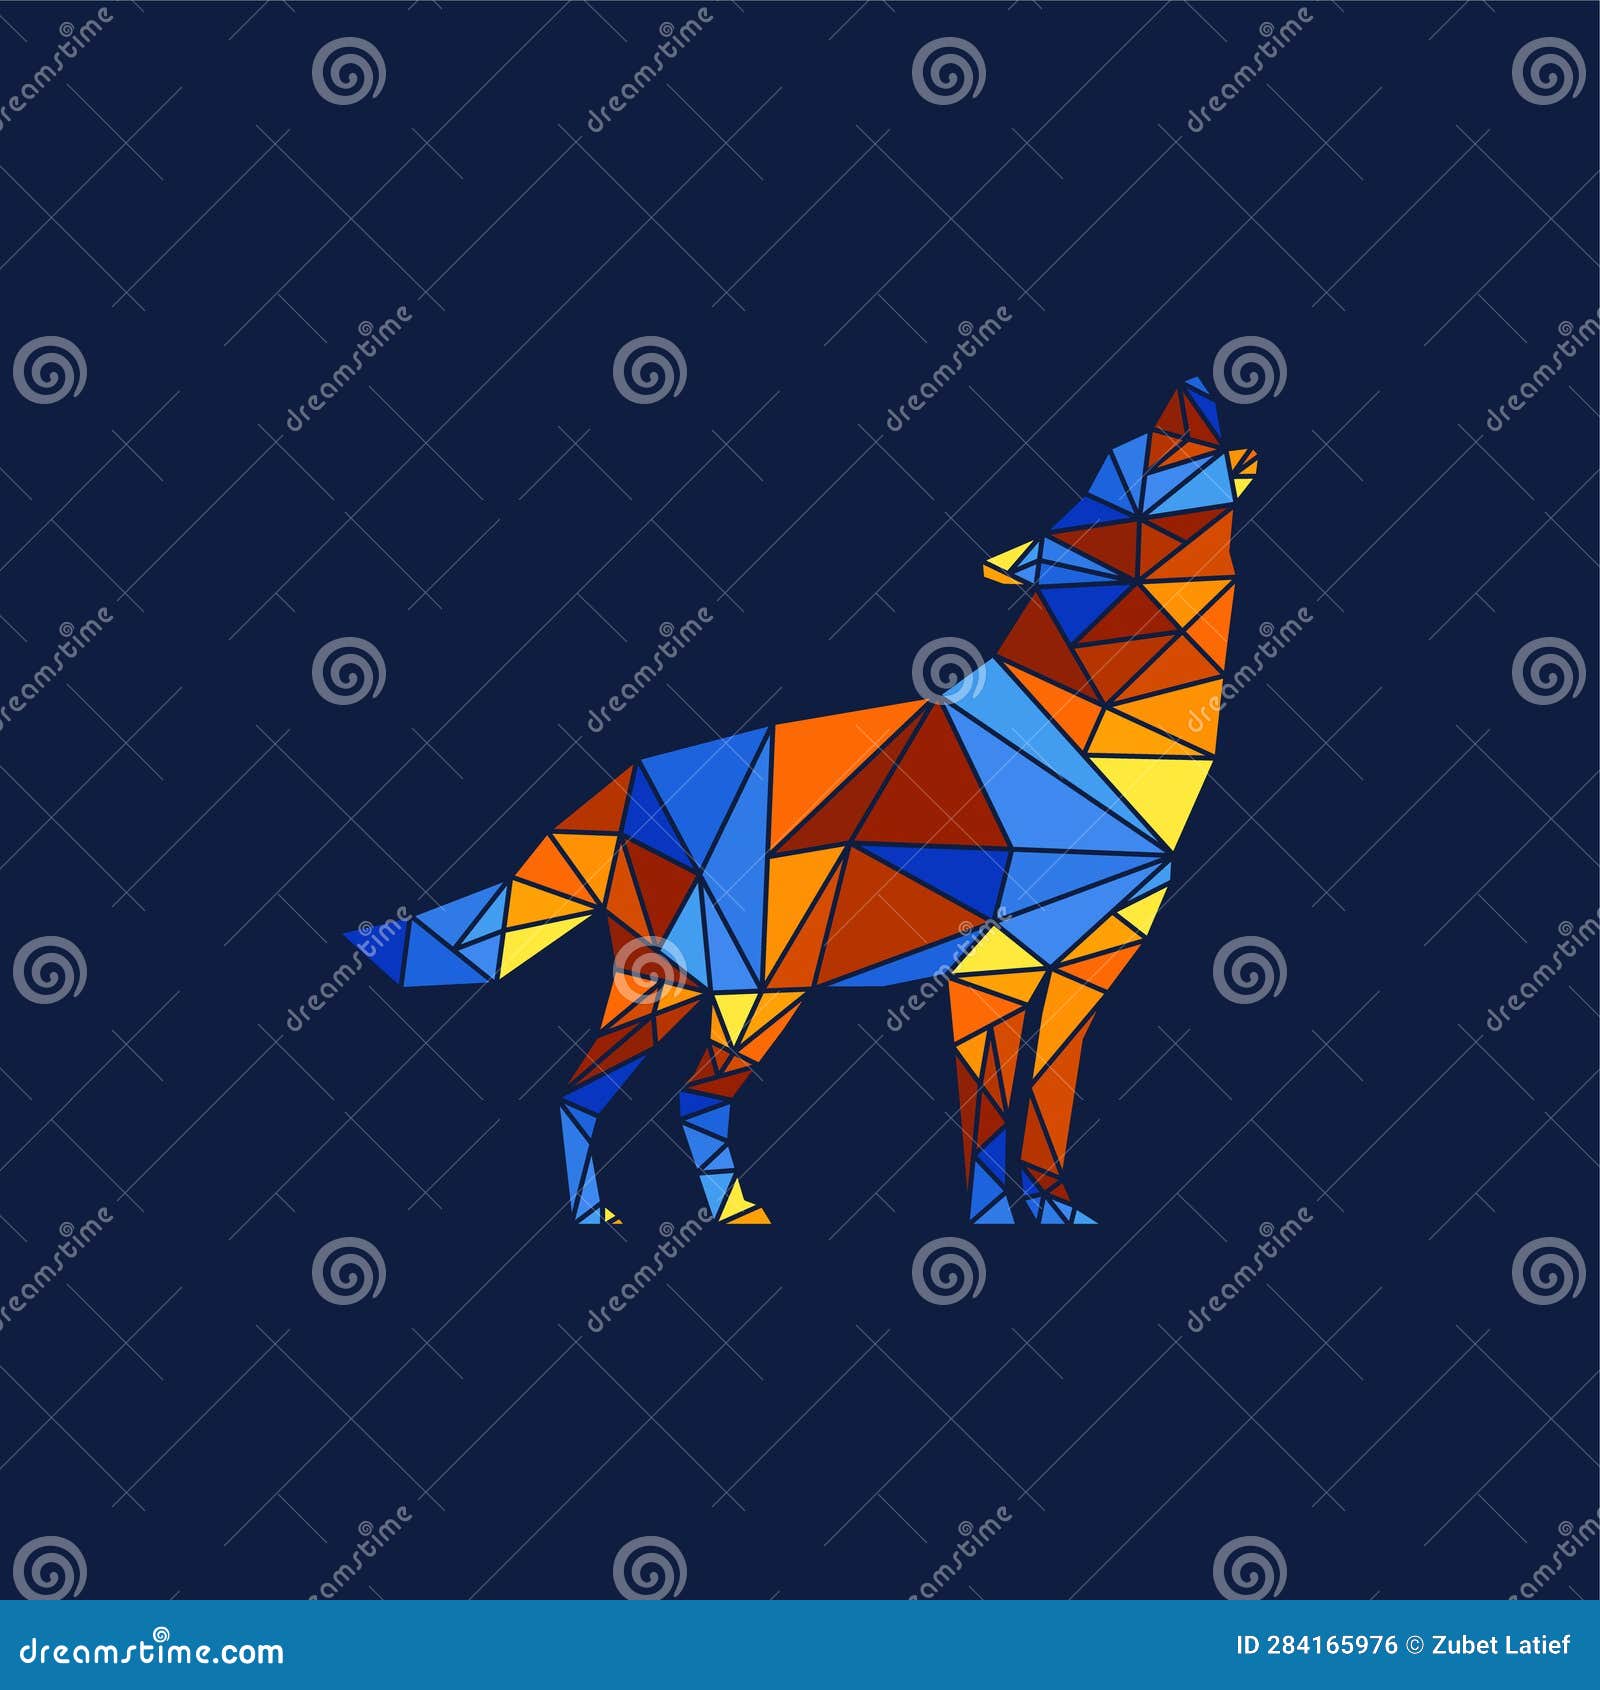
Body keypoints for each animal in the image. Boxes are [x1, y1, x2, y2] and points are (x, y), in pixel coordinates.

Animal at [346, 378, 1255, 1227]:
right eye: (1132, 465)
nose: (1192, 390)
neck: (1107, 723)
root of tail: (621, 786)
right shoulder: (993, 974)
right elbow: (990, 1124)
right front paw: (996, 1222)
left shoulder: (1086, 976)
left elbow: (1047, 1117)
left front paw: (1061, 1212)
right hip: (755, 1000)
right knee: (691, 1099)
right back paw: (732, 1215)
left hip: (667, 992)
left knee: (584, 1094)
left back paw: (599, 1219)